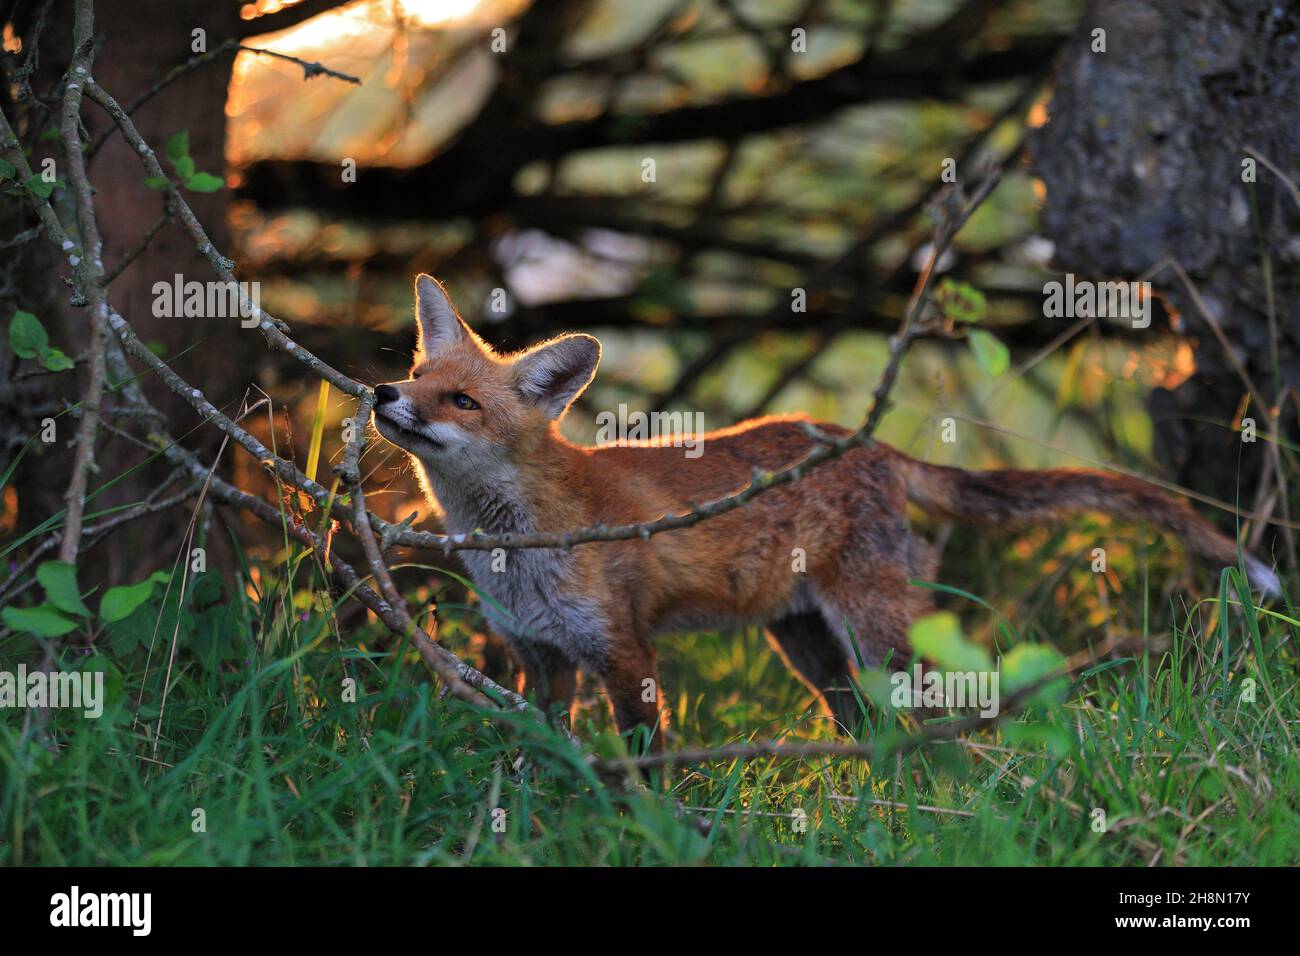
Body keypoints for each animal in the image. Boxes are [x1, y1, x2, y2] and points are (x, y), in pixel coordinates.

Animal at [371, 275, 1281, 744]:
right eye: (416, 375)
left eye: (462, 401)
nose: (381, 395)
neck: (514, 548)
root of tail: (862, 439)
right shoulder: (539, 659)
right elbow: (536, 758)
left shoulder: (626, 654)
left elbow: (640, 766)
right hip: (811, 647)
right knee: (865, 728)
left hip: (876, 634)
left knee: (935, 714)